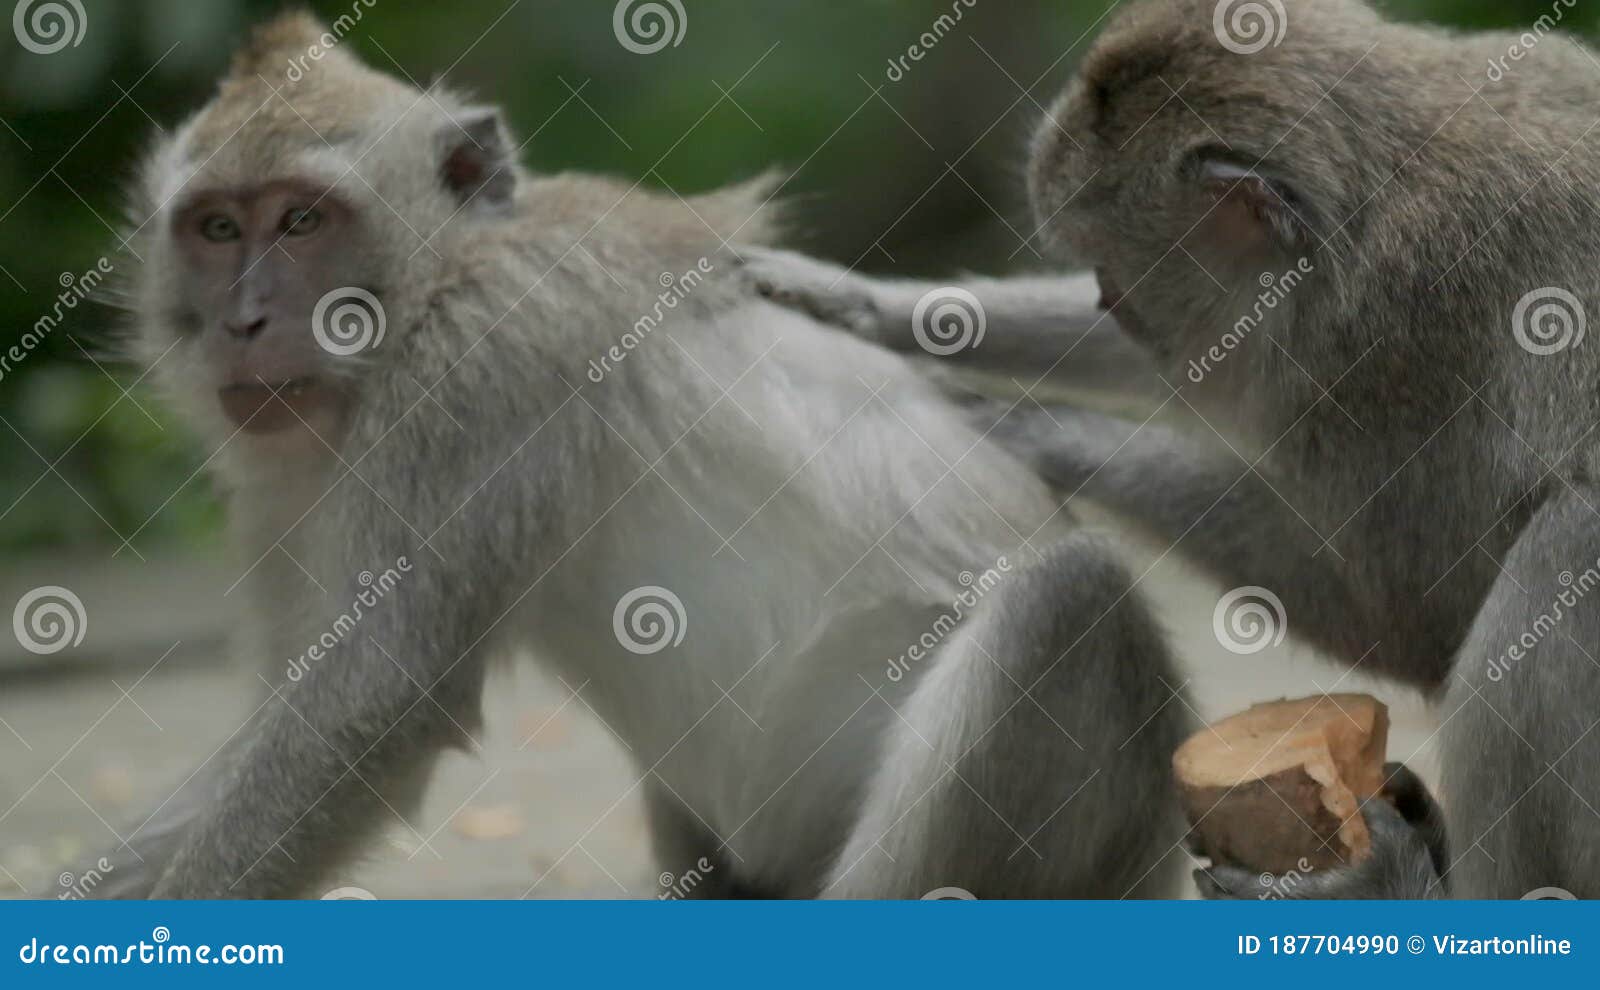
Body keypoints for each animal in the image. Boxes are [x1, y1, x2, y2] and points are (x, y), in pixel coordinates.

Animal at [71, 11, 1196, 899]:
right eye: (218, 228)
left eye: (303, 219)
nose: (245, 321)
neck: (429, 287)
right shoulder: (281, 463)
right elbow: (295, 703)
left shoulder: (481, 355)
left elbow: (371, 703)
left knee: (1072, 598)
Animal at [743, 0, 1600, 899]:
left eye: (1110, 261)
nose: (1104, 299)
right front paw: (876, 309)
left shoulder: (1394, 348)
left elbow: (1410, 615)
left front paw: (1021, 423)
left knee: (1573, 537)